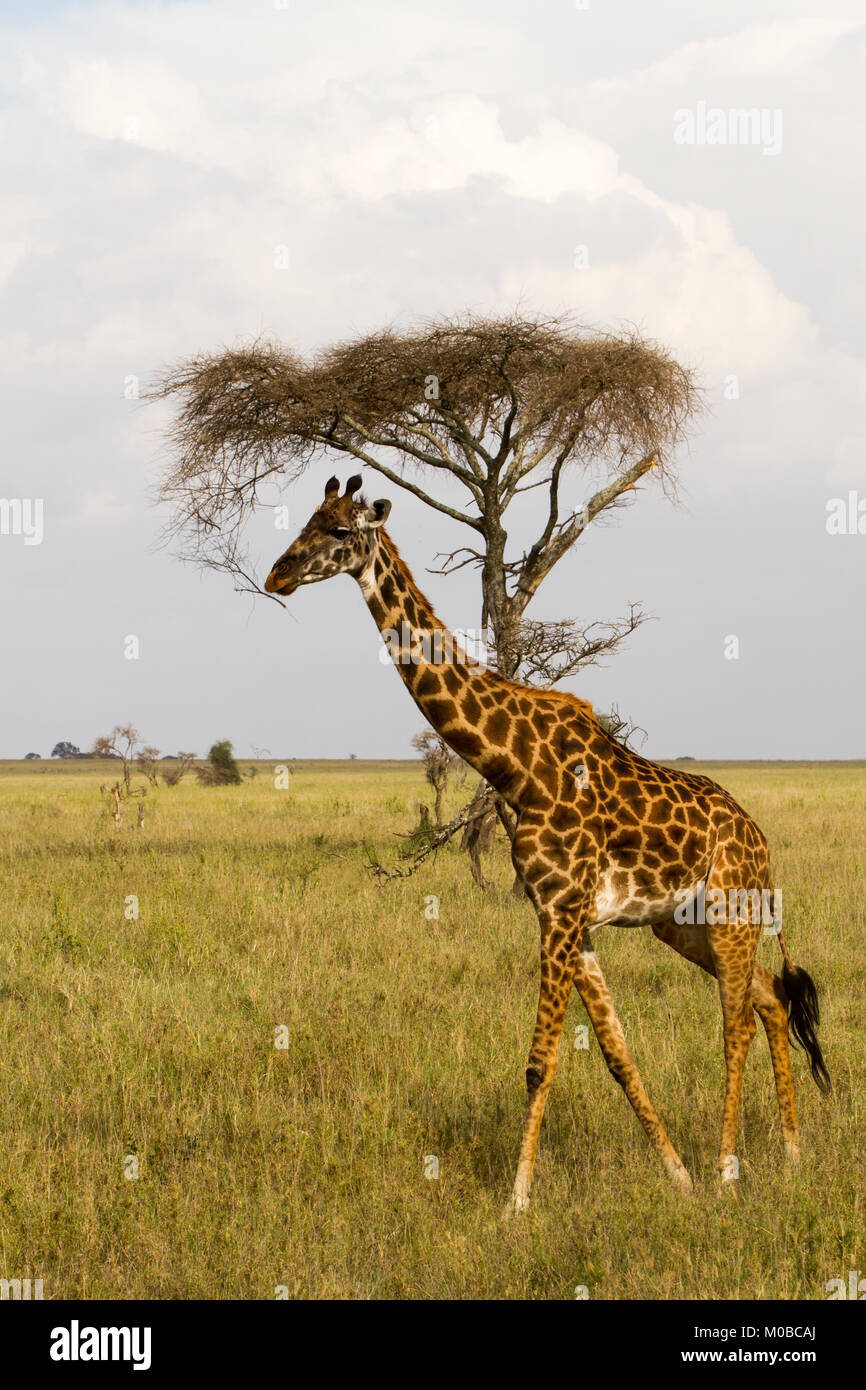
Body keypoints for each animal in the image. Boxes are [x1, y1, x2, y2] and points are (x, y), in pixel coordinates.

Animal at [265, 475, 830, 1211]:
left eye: (338, 531)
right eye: (307, 519)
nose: (277, 575)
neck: (515, 762)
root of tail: (761, 842)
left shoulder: (560, 911)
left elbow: (540, 1063)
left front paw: (517, 1201)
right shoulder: (567, 916)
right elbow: (617, 1054)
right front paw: (676, 1177)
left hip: (731, 913)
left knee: (735, 1021)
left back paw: (730, 1169)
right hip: (681, 925)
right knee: (770, 997)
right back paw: (790, 1154)